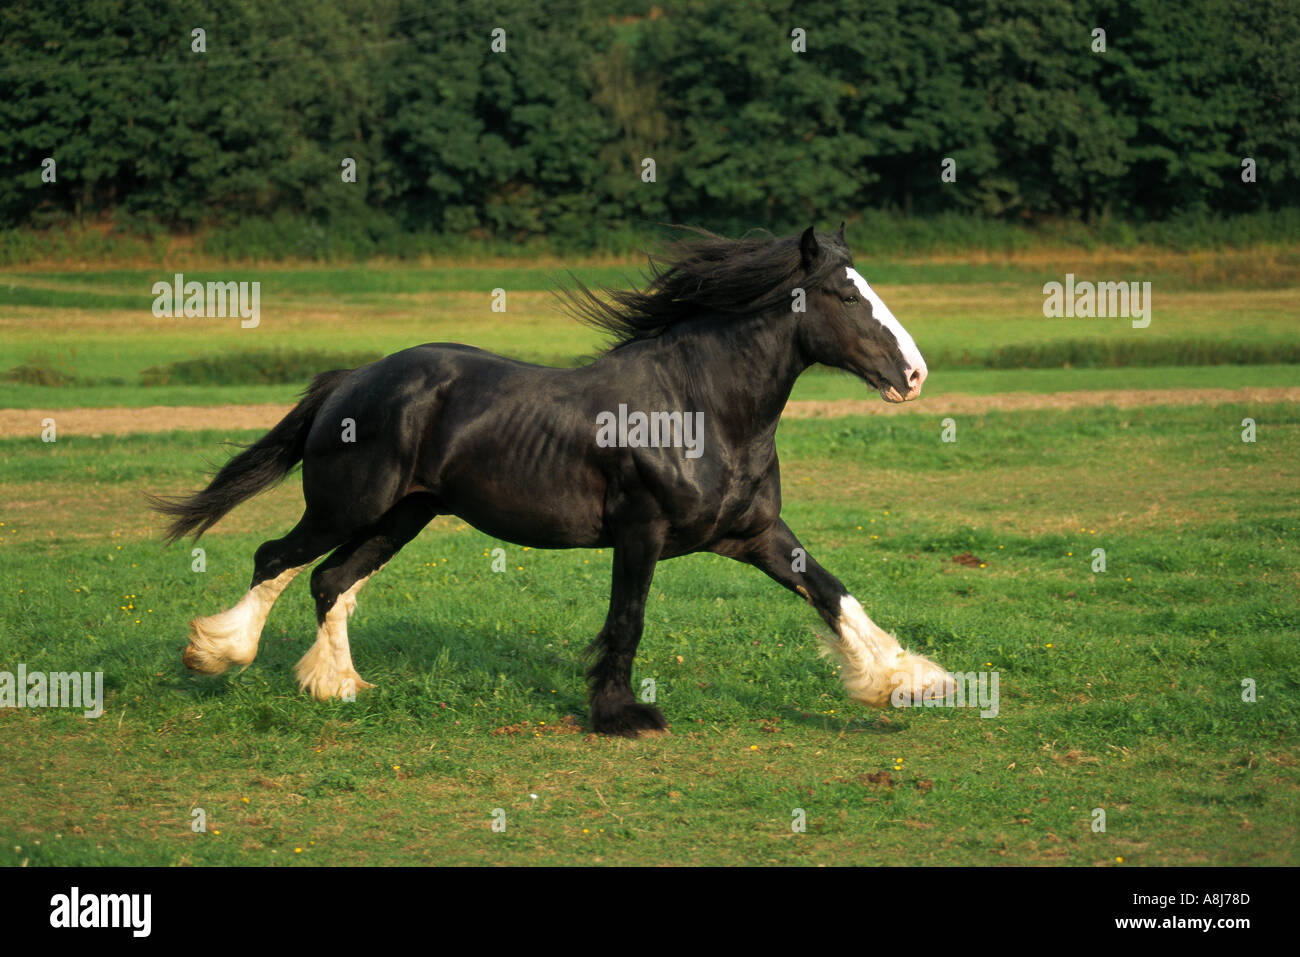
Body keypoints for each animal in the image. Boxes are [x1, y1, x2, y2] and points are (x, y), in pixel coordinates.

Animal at [151, 225, 954, 736]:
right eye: (845, 297)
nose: (915, 373)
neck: (699, 408)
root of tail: (353, 379)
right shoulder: (640, 531)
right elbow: (627, 621)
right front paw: (622, 716)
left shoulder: (754, 534)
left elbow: (833, 592)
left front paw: (912, 680)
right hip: (350, 506)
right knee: (277, 558)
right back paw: (220, 654)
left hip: (403, 516)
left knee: (329, 579)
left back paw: (338, 686)